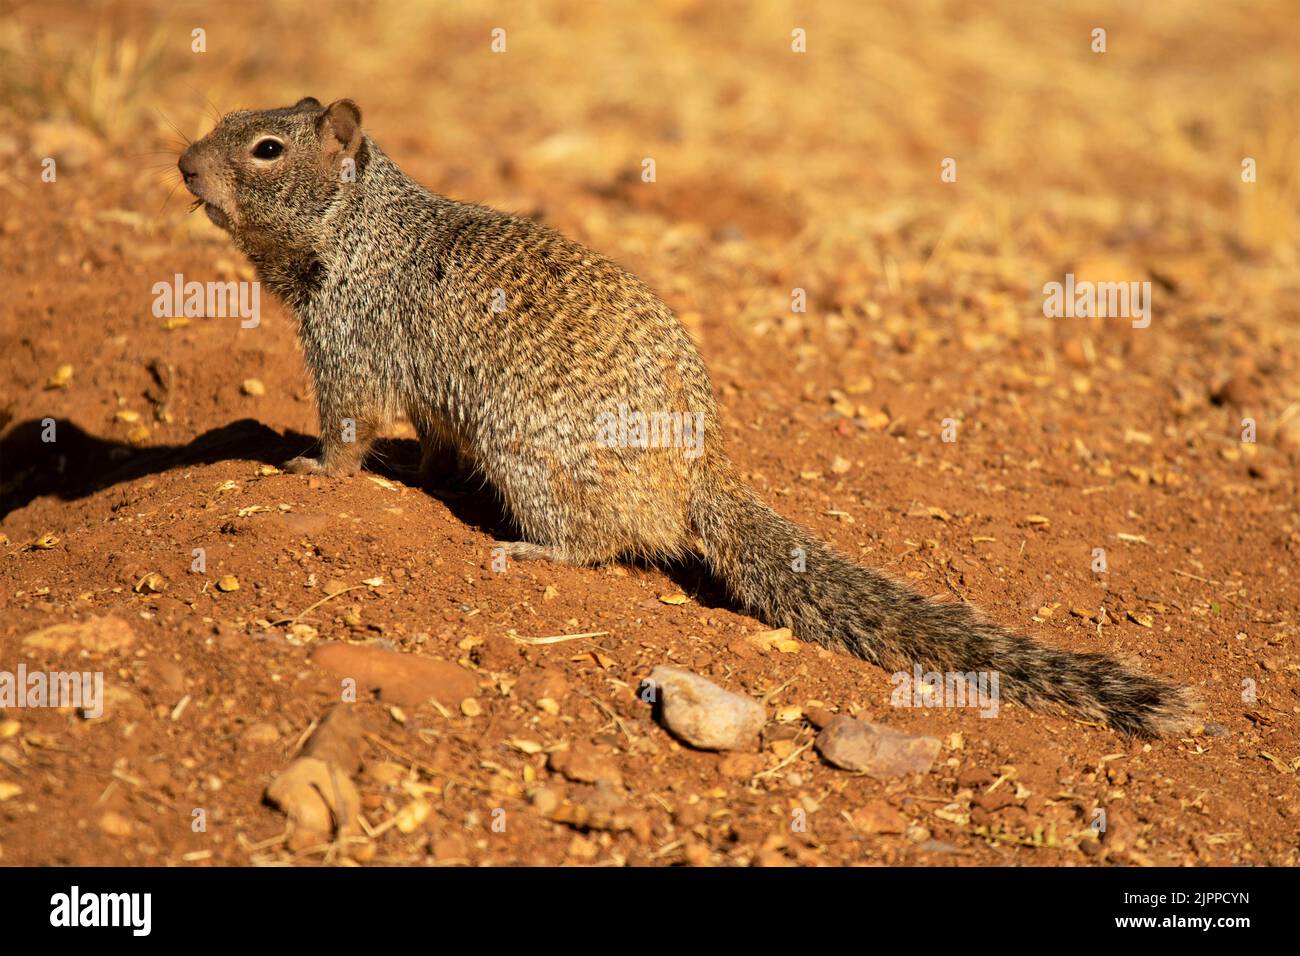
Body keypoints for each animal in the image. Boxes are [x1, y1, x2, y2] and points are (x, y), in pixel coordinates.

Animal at [179, 97, 1191, 737]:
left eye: (265, 148)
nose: (182, 162)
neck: (358, 228)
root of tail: (697, 473)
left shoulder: (346, 344)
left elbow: (346, 430)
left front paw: (312, 471)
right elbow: (425, 443)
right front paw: (409, 472)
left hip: (531, 458)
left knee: (602, 542)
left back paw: (532, 550)